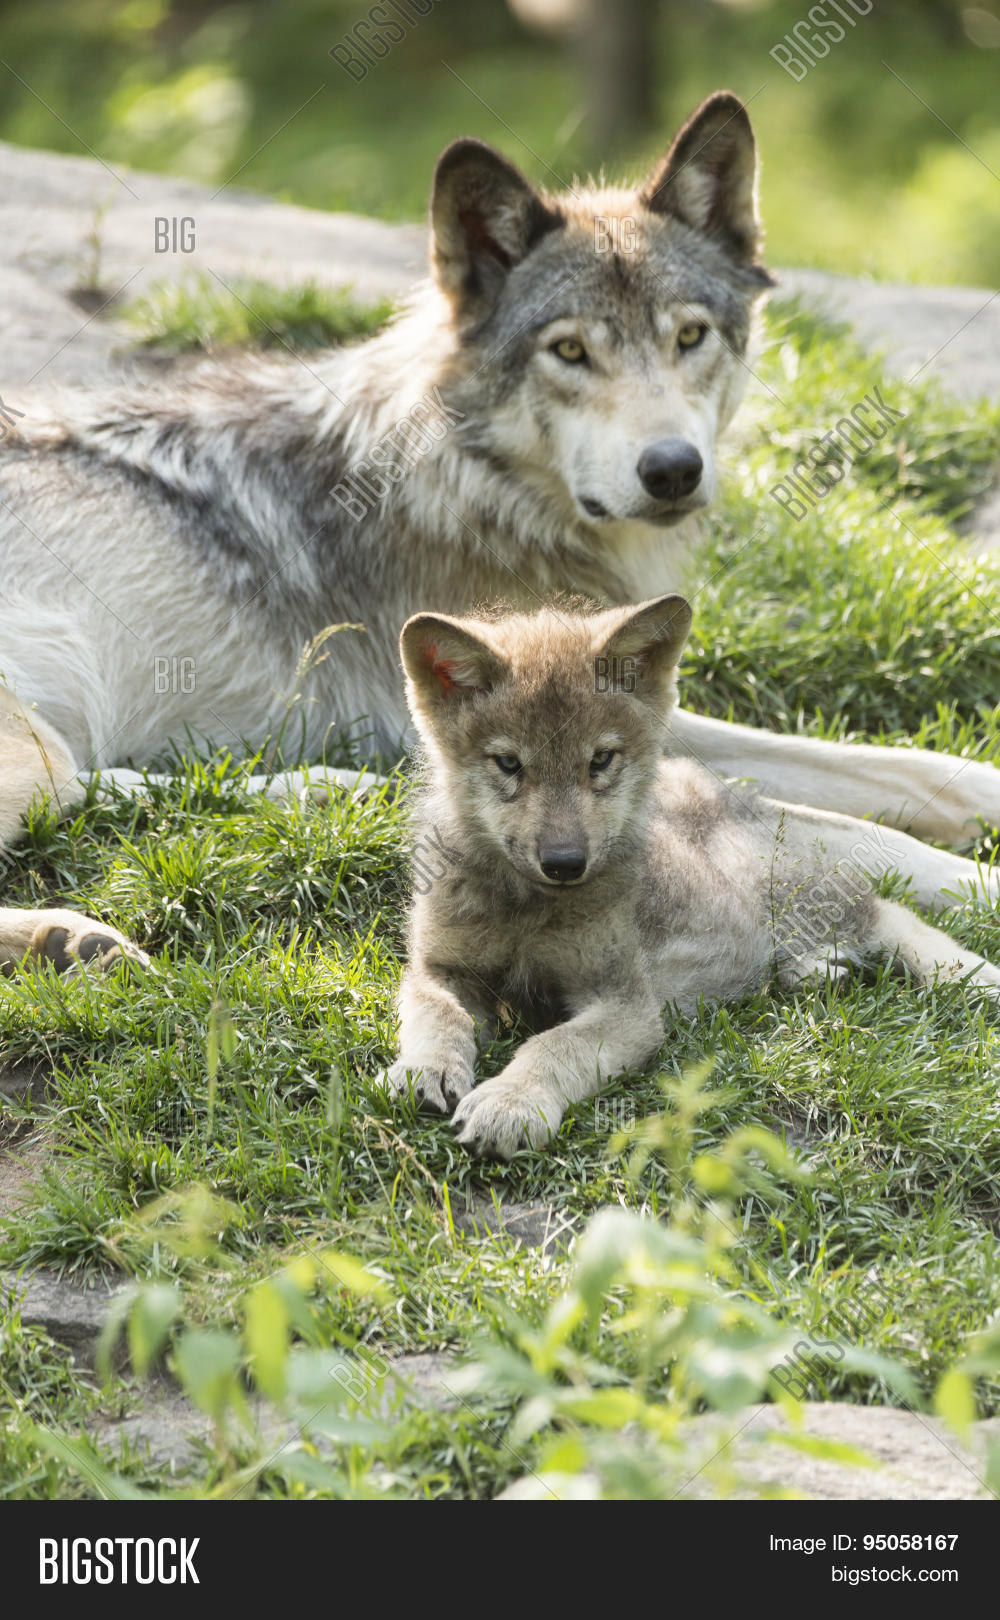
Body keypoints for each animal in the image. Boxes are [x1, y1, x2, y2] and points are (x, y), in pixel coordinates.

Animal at [1, 91, 998, 976]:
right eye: (569, 351)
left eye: (690, 337)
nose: (673, 469)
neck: (479, 487)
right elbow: (840, 826)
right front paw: (970, 880)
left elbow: (897, 767)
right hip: (34, 747)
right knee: (62, 799)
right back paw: (68, 936)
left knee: (93, 787)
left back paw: (316, 792)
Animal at [385, 596, 1000, 1159]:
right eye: (509, 764)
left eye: (600, 760)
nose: (564, 862)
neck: (525, 908)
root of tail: (740, 795)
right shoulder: (440, 967)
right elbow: (435, 1015)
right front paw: (423, 1069)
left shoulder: (628, 1004)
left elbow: (553, 1046)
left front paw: (508, 1103)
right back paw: (814, 973)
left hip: (792, 890)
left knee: (888, 912)